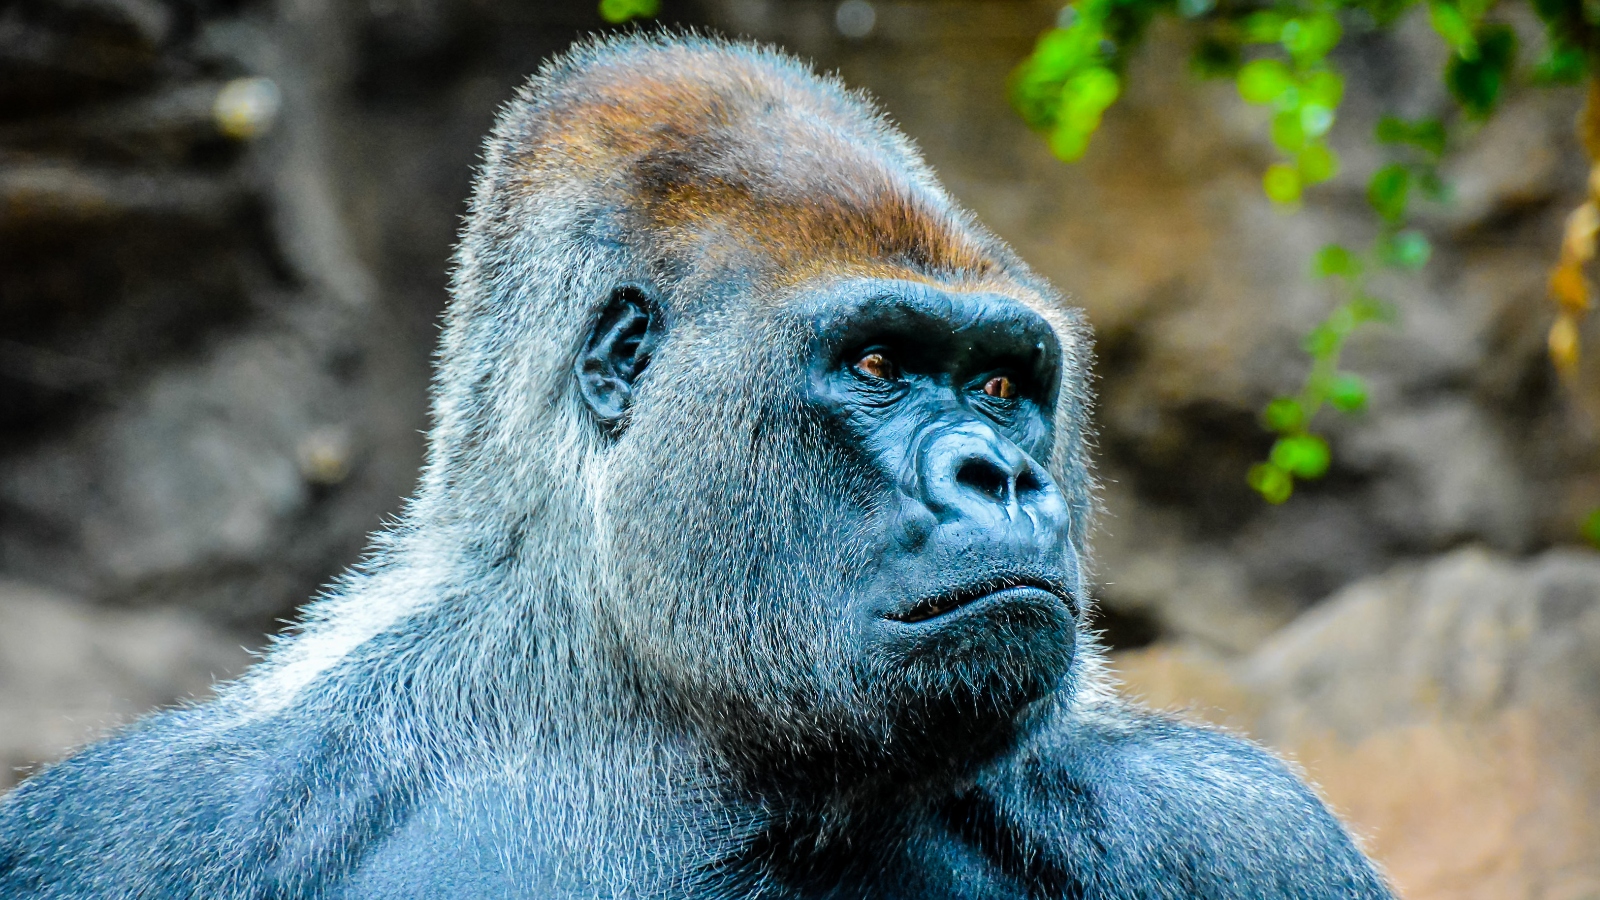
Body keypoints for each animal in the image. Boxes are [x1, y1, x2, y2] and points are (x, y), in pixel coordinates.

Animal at [0, 34, 1393, 899]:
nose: (1001, 478)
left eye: (1004, 387)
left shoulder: (1239, 829)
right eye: (878, 363)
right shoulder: (133, 829)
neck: (638, 709)